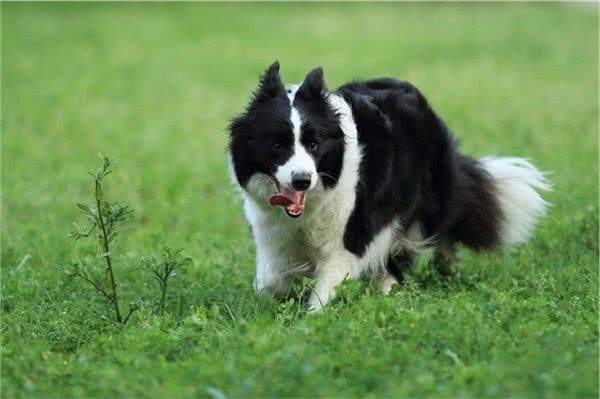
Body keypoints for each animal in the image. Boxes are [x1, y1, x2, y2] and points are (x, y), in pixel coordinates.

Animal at [229, 61, 548, 312]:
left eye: (314, 144)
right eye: (277, 145)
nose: (302, 181)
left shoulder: (349, 235)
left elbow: (325, 287)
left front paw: (312, 321)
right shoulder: (273, 237)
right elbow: (271, 281)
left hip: (431, 198)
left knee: (442, 230)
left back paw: (444, 272)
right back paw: (390, 287)